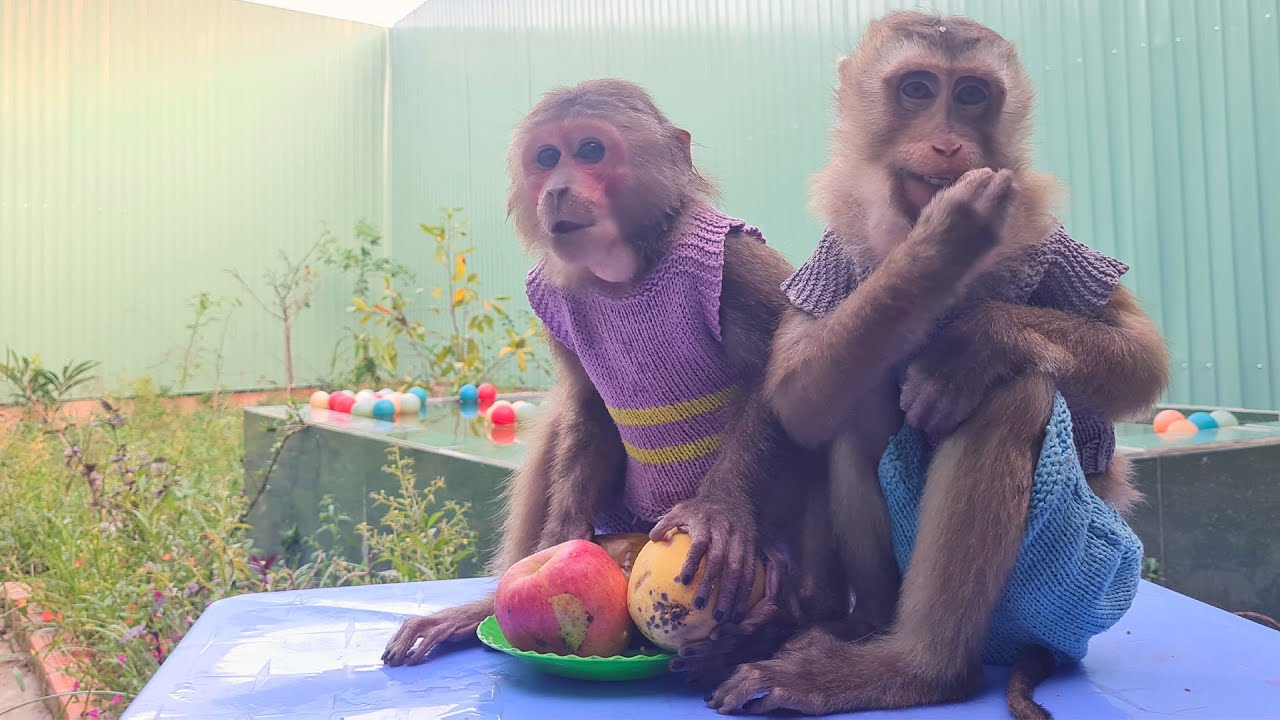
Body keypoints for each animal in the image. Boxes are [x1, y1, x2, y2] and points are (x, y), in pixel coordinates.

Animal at [382, 78, 840, 674]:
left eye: (591, 151)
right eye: (547, 158)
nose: (557, 189)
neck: (628, 270)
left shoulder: (736, 260)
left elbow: (775, 383)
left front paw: (717, 511)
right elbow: (587, 408)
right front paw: (558, 543)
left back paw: (770, 620)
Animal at [705, 11, 1170, 718]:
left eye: (972, 95)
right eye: (919, 89)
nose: (949, 145)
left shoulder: (1051, 237)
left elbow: (1141, 357)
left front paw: (973, 344)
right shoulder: (833, 252)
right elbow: (798, 398)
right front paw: (938, 249)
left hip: (1078, 578)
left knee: (1015, 394)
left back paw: (922, 669)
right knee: (860, 399)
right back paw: (866, 625)